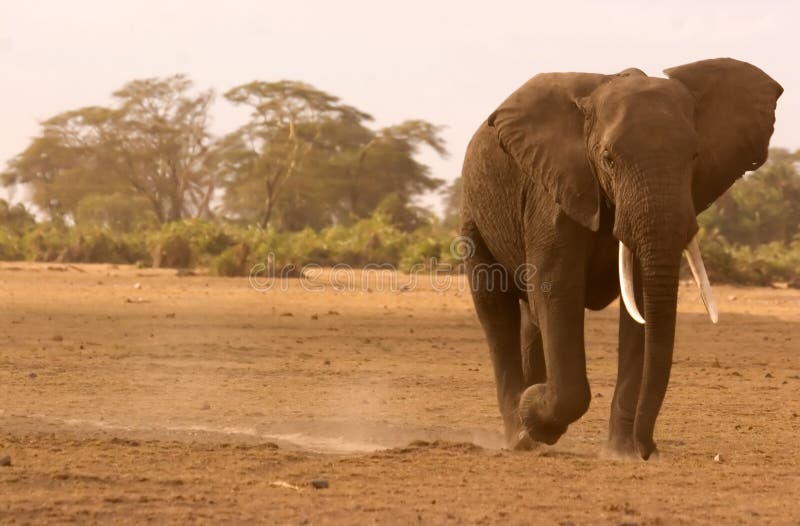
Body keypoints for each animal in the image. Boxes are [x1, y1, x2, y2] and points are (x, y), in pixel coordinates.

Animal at [460, 58, 782, 460]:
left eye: (694, 157)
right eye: (608, 160)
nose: (650, 449)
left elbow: (641, 304)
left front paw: (623, 453)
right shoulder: (554, 192)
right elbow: (557, 290)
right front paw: (533, 413)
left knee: (531, 318)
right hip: (473, 215)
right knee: (495, 310)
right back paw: (520, 437)